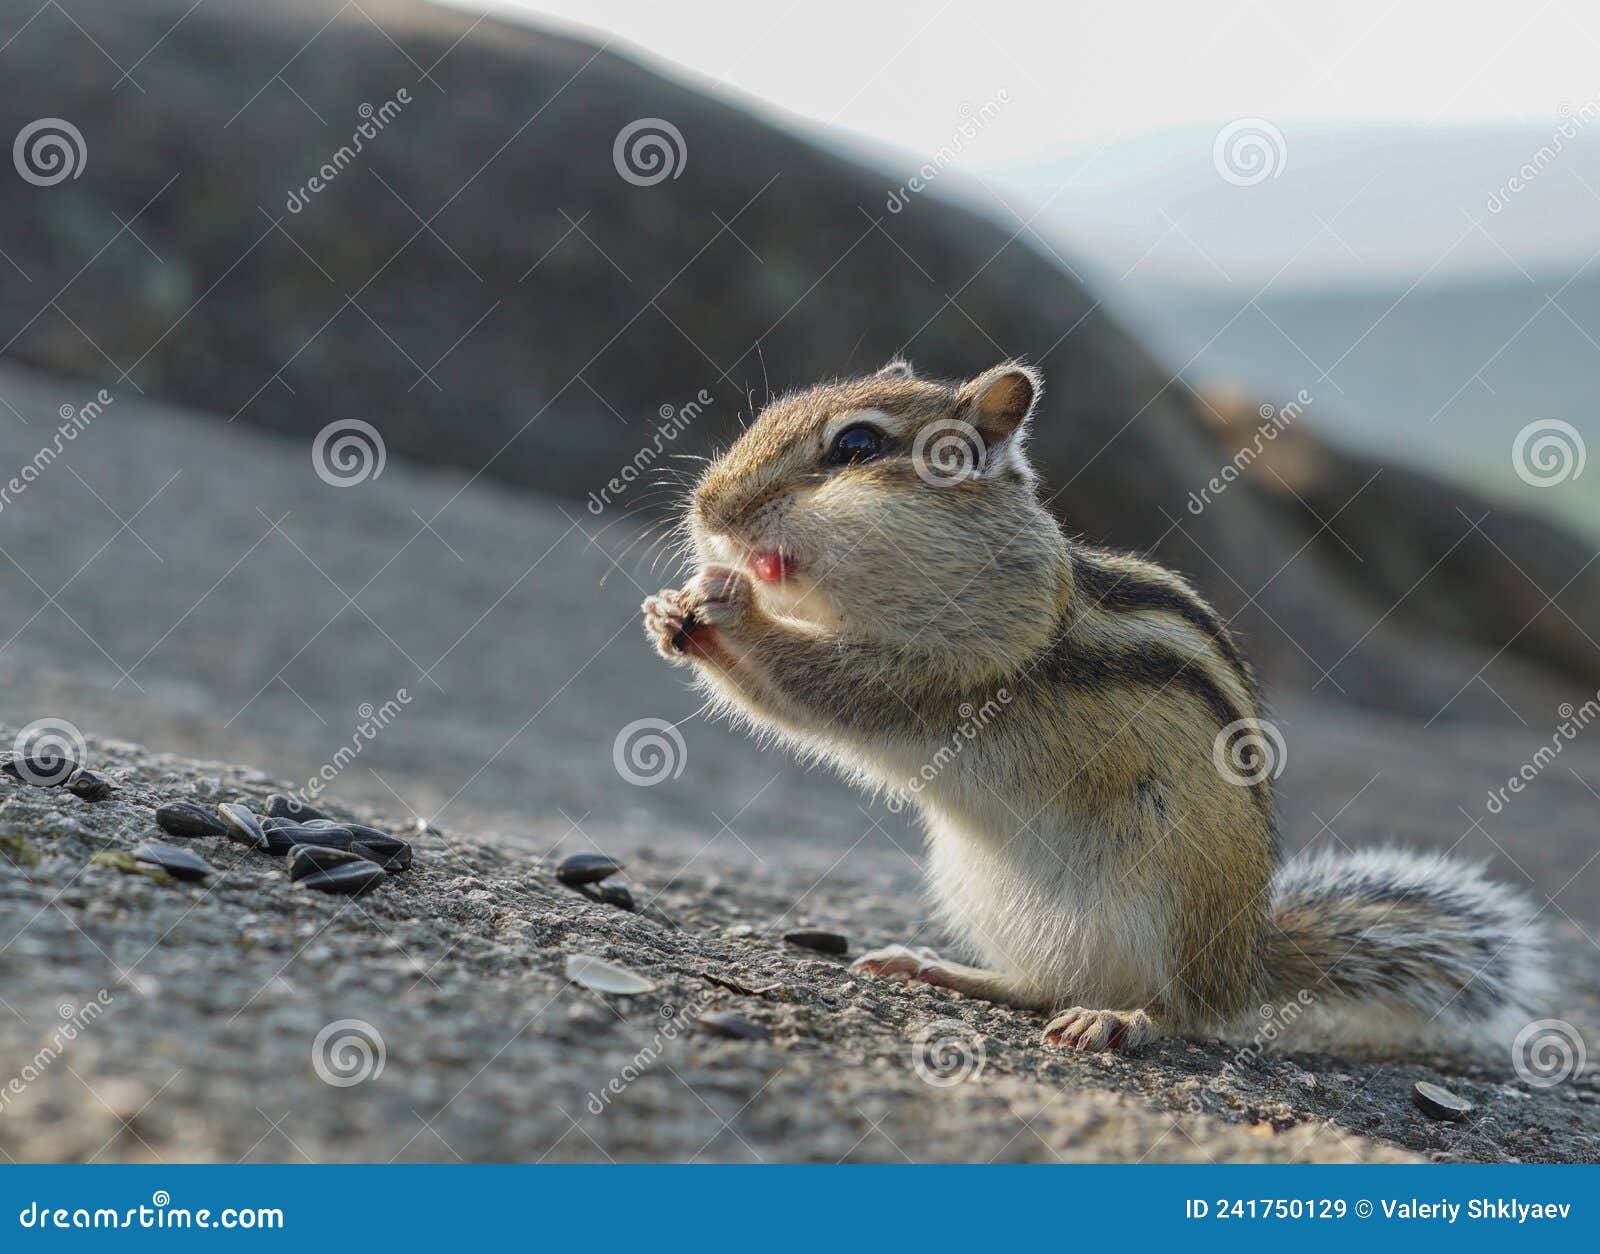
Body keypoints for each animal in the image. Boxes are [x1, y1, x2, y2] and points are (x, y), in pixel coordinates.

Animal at [642, 359, 1551, 1052]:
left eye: (856, 446)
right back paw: (937, 967)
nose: (708, 511)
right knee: (1040, 983)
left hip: (1167, 898)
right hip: (985, 892)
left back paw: (1119, 1019)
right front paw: (671, 610)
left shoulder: (960, 663)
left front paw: (730, 609)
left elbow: (827, 691)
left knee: (1181, 1012)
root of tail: (1247, 963)